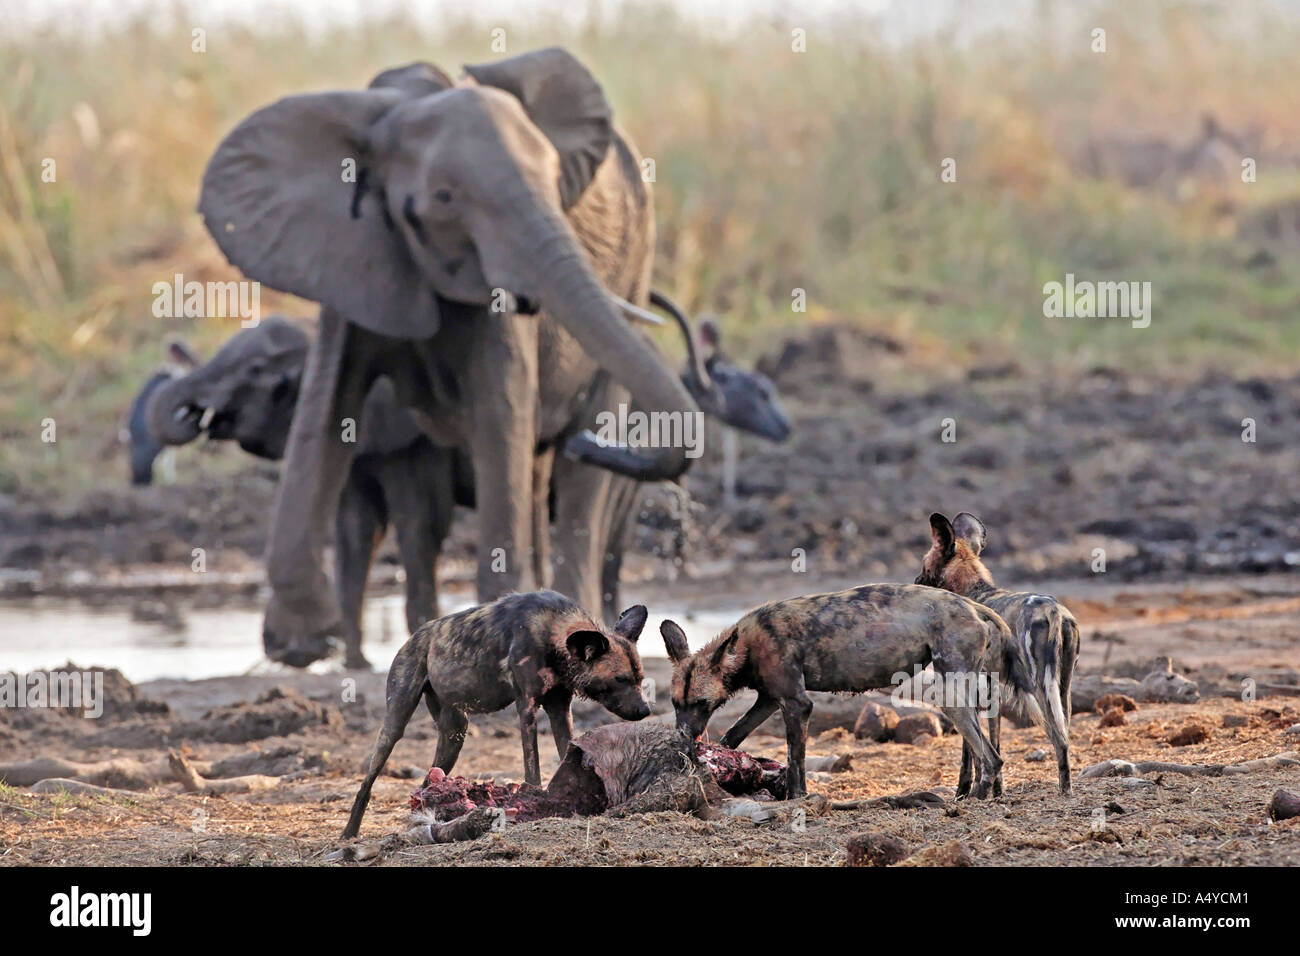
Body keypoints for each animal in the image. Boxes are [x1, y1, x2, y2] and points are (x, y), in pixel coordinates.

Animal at [136, 296, 789, 667]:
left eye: (256, 373)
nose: (194, 412)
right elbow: (355, 535)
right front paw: (353, 662)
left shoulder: (404, 438)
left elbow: (416, 524)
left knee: (606, 532)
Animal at [197, 48, 705, 666]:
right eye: (443, 199)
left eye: (556, 184)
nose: (591, 443)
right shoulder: (350, 258)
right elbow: (324, 412)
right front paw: (302, 641)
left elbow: (500, 417)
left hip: (637, 258)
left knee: (578, 483)